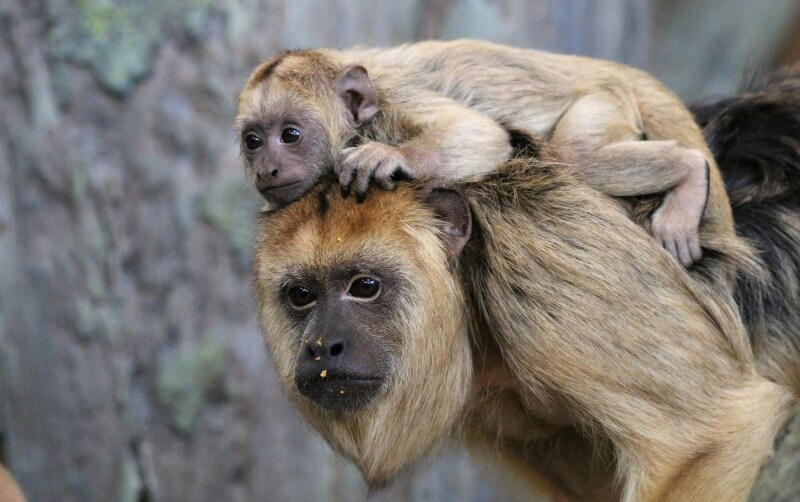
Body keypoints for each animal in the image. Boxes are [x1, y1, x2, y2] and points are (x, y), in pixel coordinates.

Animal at [237, 39, 737, 269]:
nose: (268, 169)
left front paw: (392, 157)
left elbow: (480, 135)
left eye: (291, 134)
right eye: (253, 141)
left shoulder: (399, 103)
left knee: (575, 153)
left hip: (605, 98)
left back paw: (691, 172)